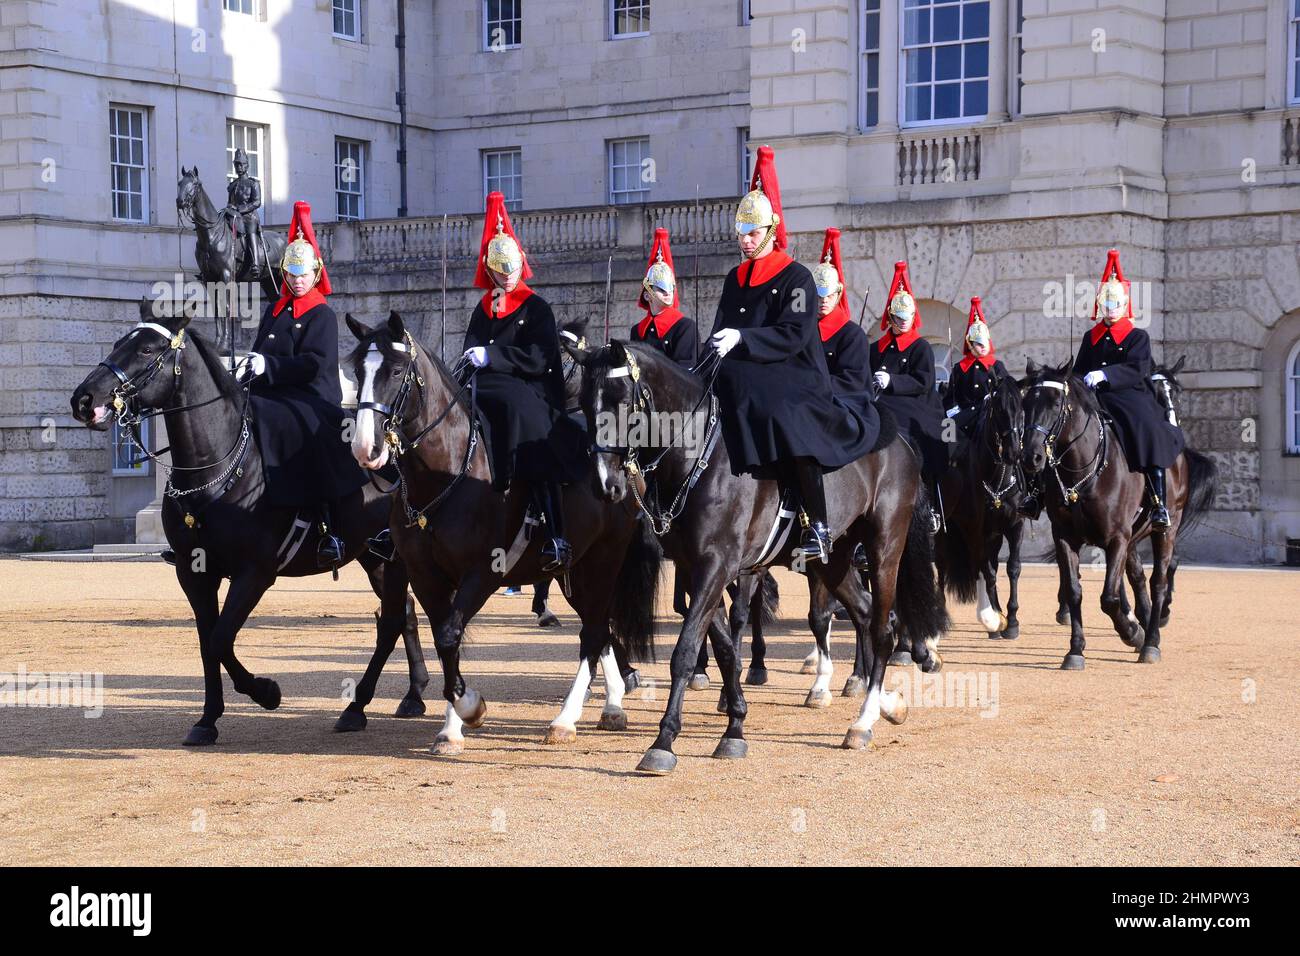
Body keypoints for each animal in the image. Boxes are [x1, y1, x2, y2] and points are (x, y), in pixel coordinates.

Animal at [70, 300, 431, 745]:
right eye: (118, 341)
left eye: (147, 349)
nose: (84, 399)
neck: (215, 467)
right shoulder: (194, 573)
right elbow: (207, 644)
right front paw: (207, 719)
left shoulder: (255, 573)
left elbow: (221, 639)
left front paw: (266, 692)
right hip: (374, 555)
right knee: (403, 614)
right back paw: (410, 695)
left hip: (391, 555)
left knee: (393, 618)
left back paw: (359, 706)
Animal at [346, 312, 660, 755]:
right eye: (358, 371)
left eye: (393, 370)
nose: (365, 448)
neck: (446, 472)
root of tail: (626, 468)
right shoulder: (424, 575)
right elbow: (443, 637)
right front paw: (453, 723)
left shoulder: (484, 572)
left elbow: (449, 634)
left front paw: (468, 709)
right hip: (573, 572)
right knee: (599, 627)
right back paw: (611, 705)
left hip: (603, 560)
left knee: (595, 631)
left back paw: (565, 720)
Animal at [577, 340, 949, 773]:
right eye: (583, 403)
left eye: (621, 401)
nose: (606, 485)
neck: (699, 457)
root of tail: (900, 438)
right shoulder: (698, 569)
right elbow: (724, 647)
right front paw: (734, 725)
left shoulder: (716, 567)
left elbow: (685, 652)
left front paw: (664, 741)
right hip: (834, 561)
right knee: (869, 613)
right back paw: (886, 703)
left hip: (884, 547)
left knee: (882, 627)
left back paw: (864, 721)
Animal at [1019, 359, 1217, 669]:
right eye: (1026, 402)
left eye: (1055, 402)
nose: (1031, 457)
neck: (1082, 469)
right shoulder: (1065, 537)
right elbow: (1075, 591)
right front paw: (1076, 650)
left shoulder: (1117, 538)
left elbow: (1109, 597)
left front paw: (1131, 632)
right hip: (1134, 538)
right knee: (1137, 578)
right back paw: (1144, 622)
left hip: (1165, 530)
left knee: (1158, 580)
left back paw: (1150, 641)